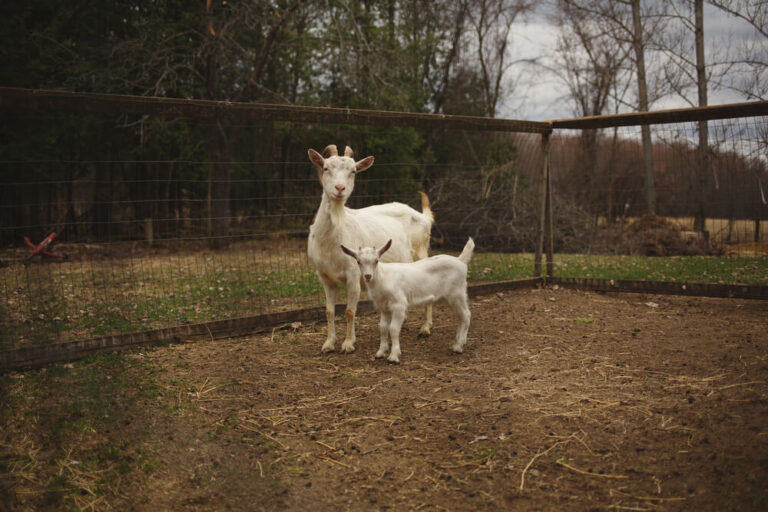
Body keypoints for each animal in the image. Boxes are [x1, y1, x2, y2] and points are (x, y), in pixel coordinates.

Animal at [307, 144, 434, 354]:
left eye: (353, 171)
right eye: (326, 168)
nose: (340, 188)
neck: (331, 239)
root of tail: (423, 218)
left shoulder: (352, 275)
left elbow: (350, 311)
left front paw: (348, 343)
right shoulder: (325, 277)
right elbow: (329, 311)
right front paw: (328, 343)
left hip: (421, 253)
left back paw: (425, 328)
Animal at [341, 237, 474, 363]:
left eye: (376, 261)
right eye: (358, 261)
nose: (368, 276)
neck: (383, 278)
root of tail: (460, 261)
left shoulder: (399, 305)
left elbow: (393, 329)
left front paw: (394, 356)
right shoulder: (384, 307)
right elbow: (383, 328)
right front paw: (380, 352)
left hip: (457, 293)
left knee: (466, 314)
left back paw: (458, 346)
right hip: (452, 297)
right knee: (461, 316)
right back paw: (459, 342)